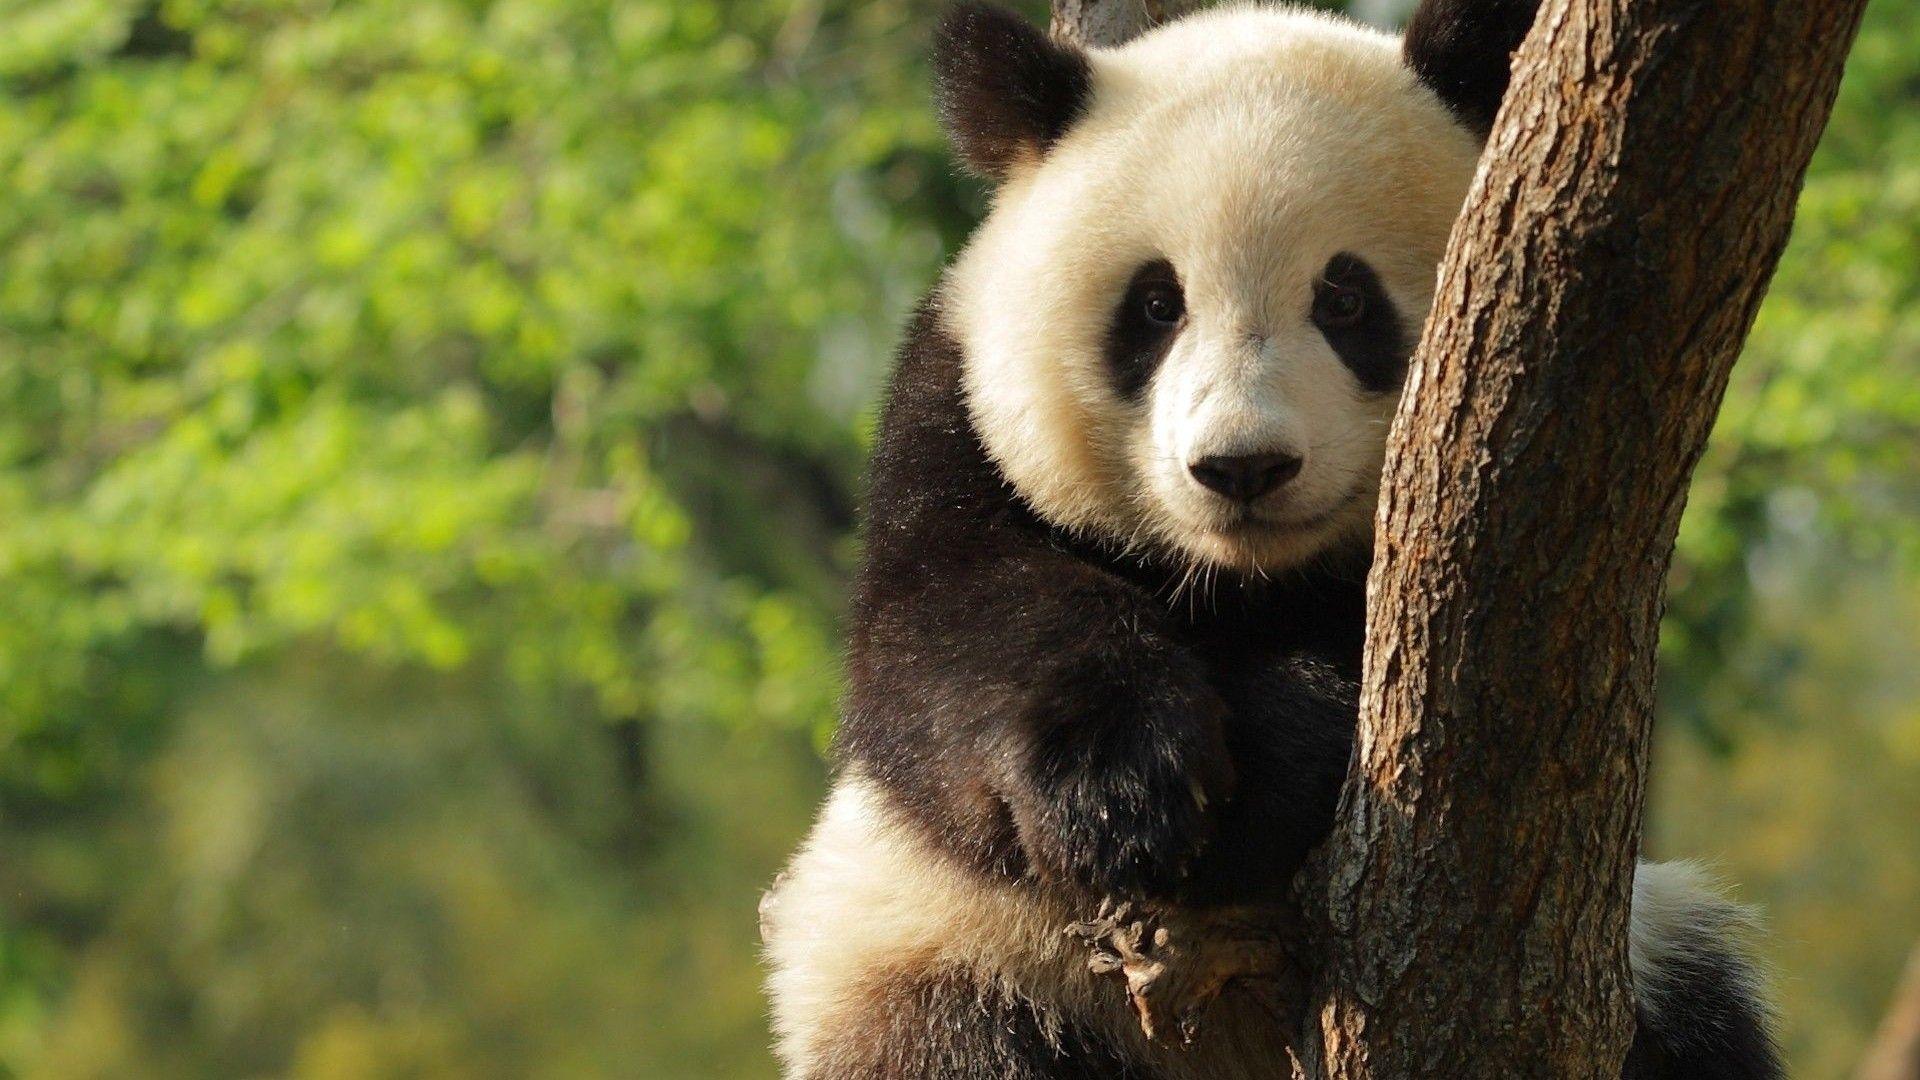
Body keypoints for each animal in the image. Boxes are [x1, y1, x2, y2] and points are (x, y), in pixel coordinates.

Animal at [761, 2, 1781, 1078]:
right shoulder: (954, 422)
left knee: (1701, 1022)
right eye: (1155, 304)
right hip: (936, 956)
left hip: (1652, 952)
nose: (1243, 467)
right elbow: (943, 647)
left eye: (1345, 298)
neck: (1239, 581)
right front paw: (1125, 790)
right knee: (954, 1041)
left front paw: (1270, 763)